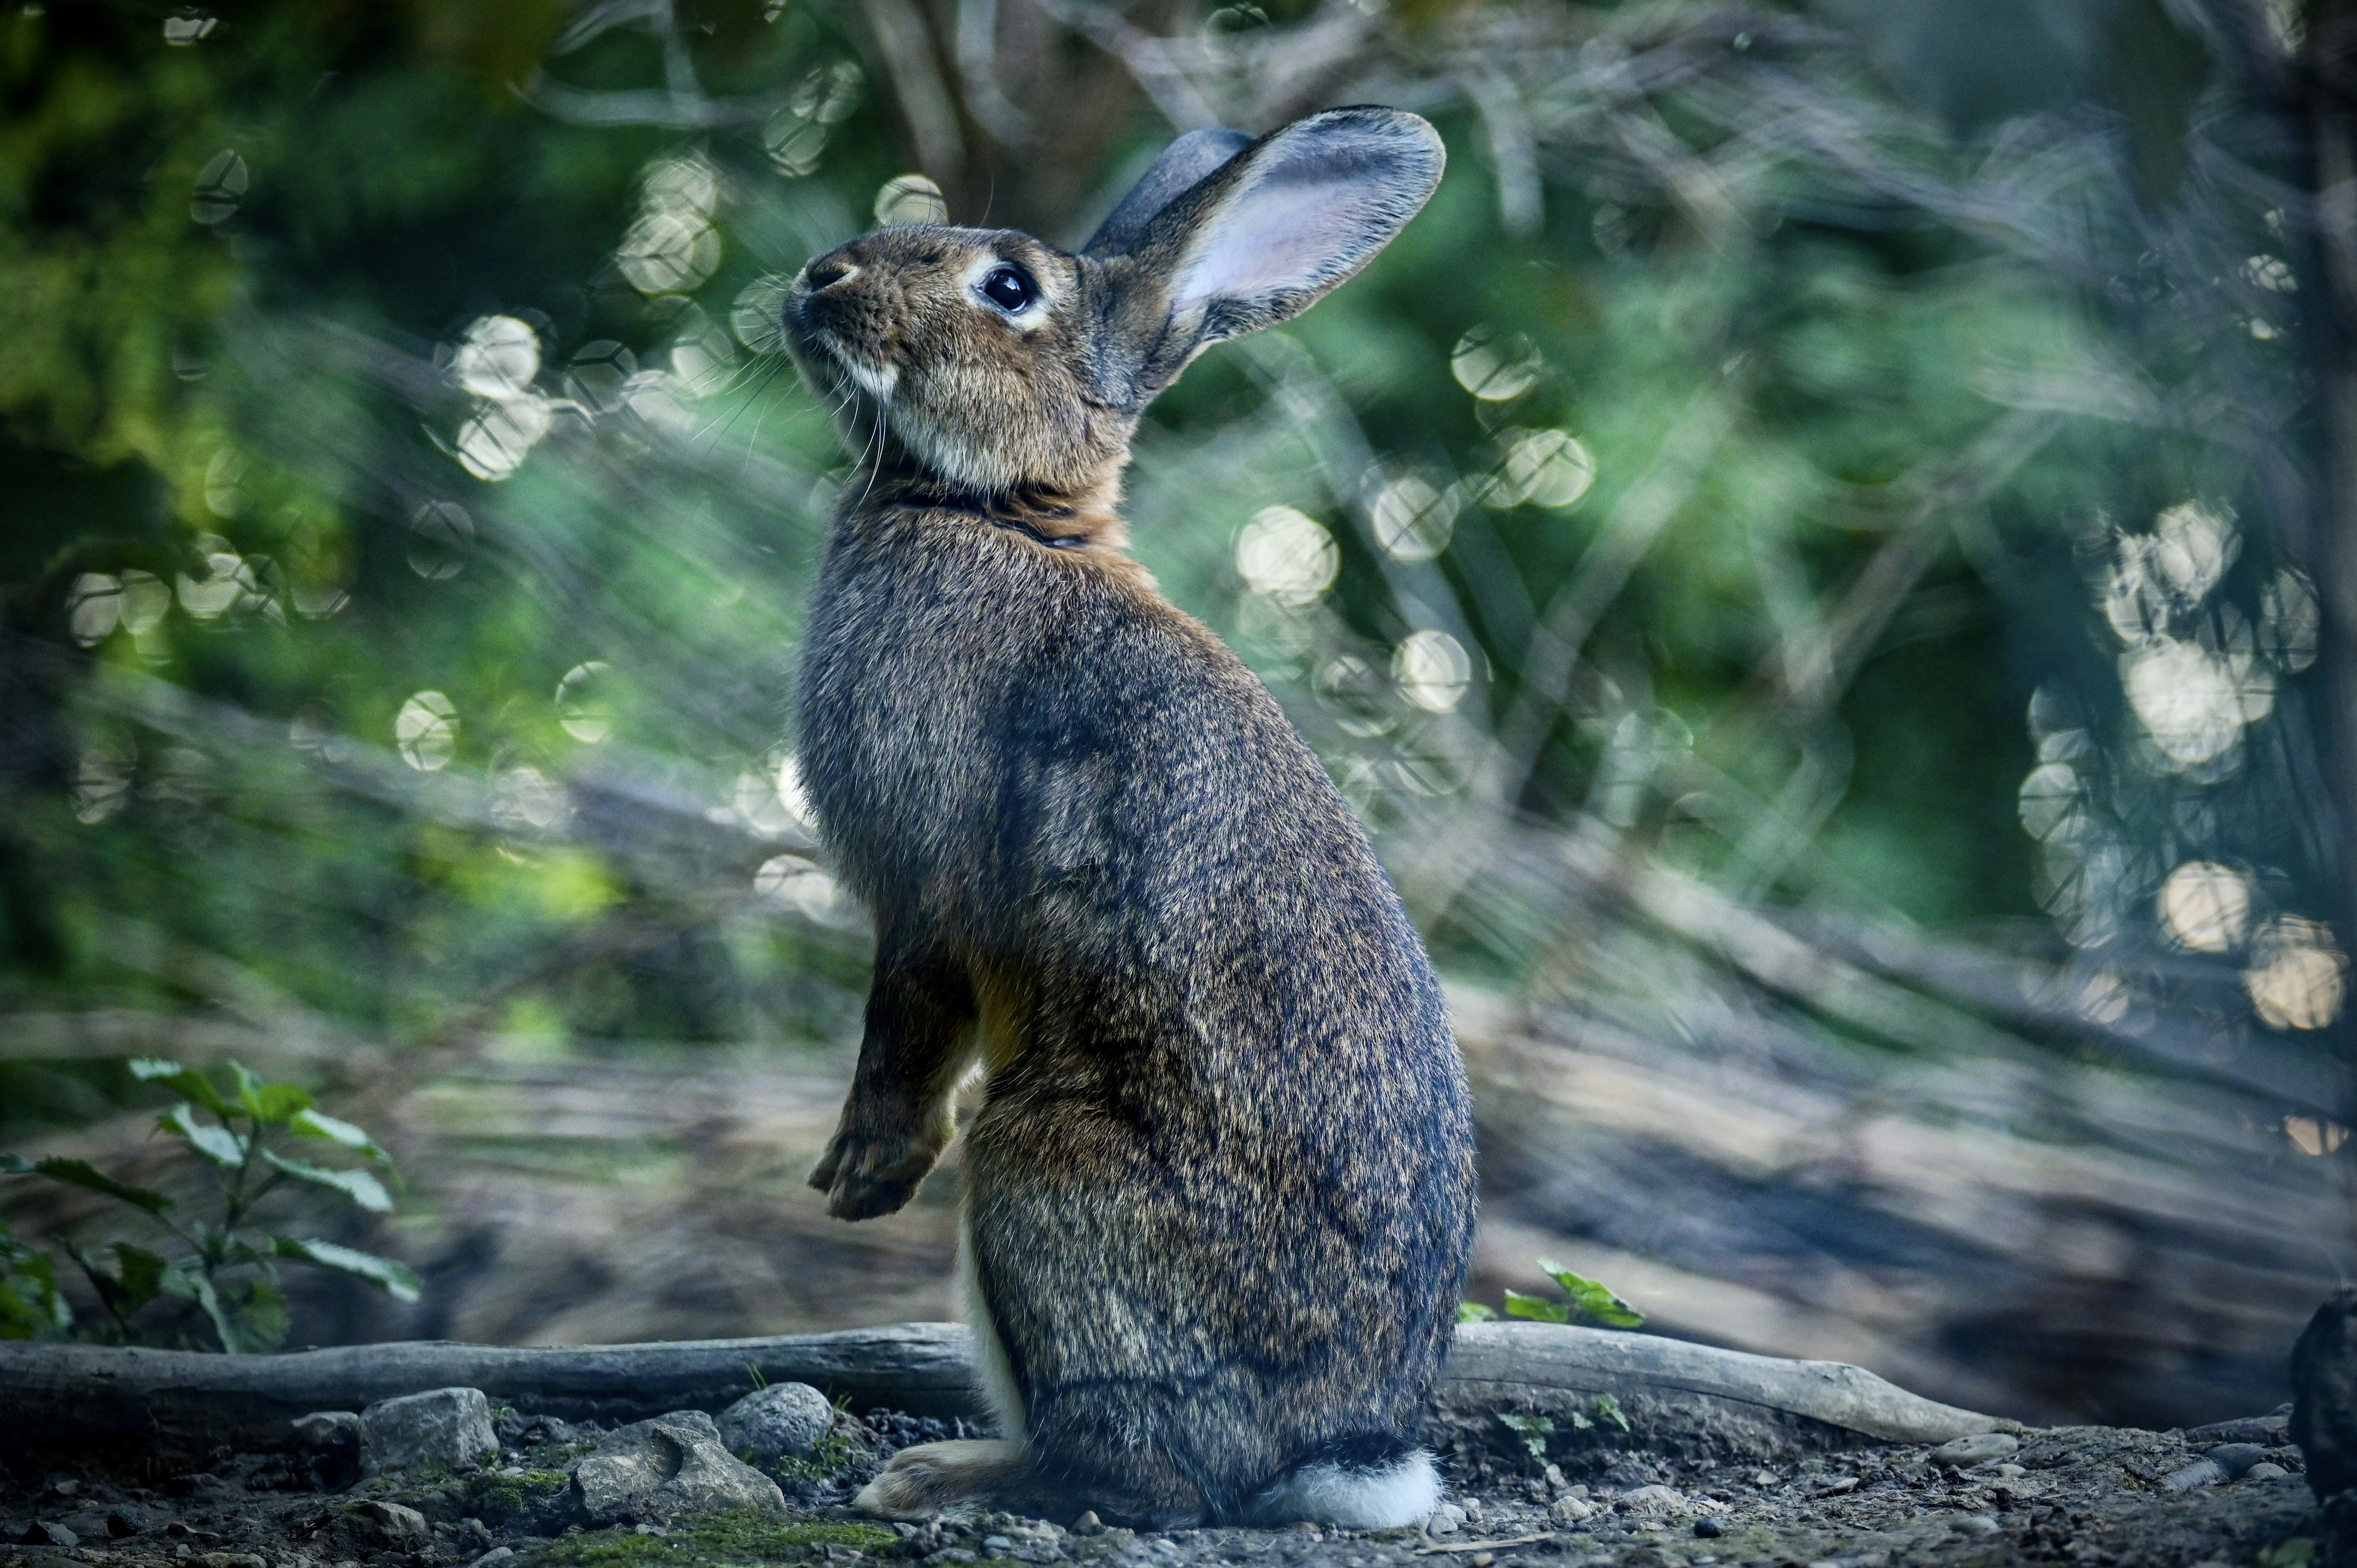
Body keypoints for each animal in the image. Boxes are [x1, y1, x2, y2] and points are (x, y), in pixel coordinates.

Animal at [783, 106, 1477, 1531]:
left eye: (1006, 287)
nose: (820, 278)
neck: (1004, 512)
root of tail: (1331, 1448)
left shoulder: (925, 888)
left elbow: (907, 1021)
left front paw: (864, 1176)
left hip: (1034, 1167)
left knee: (1137, 1472)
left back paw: (940, 1473)